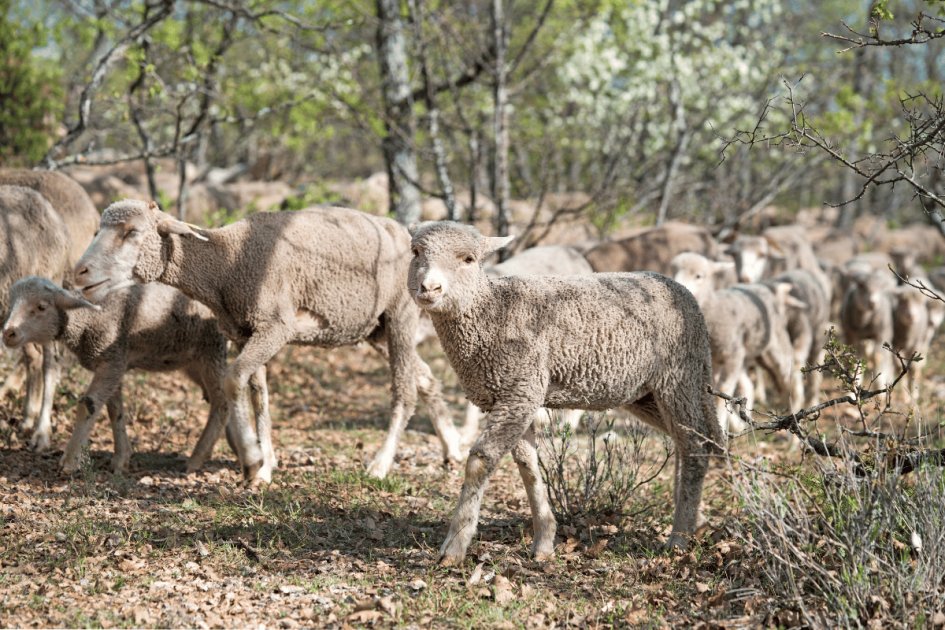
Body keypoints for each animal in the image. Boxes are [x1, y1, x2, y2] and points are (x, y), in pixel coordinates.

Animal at [2, 277, 235, 473]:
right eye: (11, 304)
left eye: (41, 306)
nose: (8, 333)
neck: (89, 318)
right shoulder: (114, 363)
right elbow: (114, 411)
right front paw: (121, 458)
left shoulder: (111, 360)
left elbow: (88, 405)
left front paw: (70, 461)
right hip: (193, 361)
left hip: (212, 350)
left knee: (222, 404)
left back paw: (196, 459)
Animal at [72, 199, 463, 483]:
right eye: (97, 230)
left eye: (132, 232)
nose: (80, 272)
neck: (227, 264)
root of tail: (401, 229)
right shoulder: (247, 331)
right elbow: (258, 394)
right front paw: (266, 464)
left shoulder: (276, 325)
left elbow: (234, 381)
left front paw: (252, 459)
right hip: (373, 328)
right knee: (425, 377)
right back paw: (454, 448)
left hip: (401, 314)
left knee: (405, 391)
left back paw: (380, 465)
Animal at [407, 221, 723, 565]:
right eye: (416, 252)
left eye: (468, 259)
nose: (429, 288)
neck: (493, 311)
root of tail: (688, 298)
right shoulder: (513, 396)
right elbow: (528, 466)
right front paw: (544, 540)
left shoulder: (521, 390)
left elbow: (481, 459)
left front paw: (454, 545)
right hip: (646, 393)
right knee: (692, 440)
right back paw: (696, 520)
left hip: (678, 377)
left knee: (694, 445)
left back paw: (679, 537)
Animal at [670, 252, 797, 433]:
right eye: (673, 271)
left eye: (698, 276)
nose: (678, 289)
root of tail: (759, 286)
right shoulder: (713, 359)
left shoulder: (732, 355)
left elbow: (723, 391)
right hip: (748, 356)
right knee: (749, 386)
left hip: (773, 345)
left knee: (788, 383)